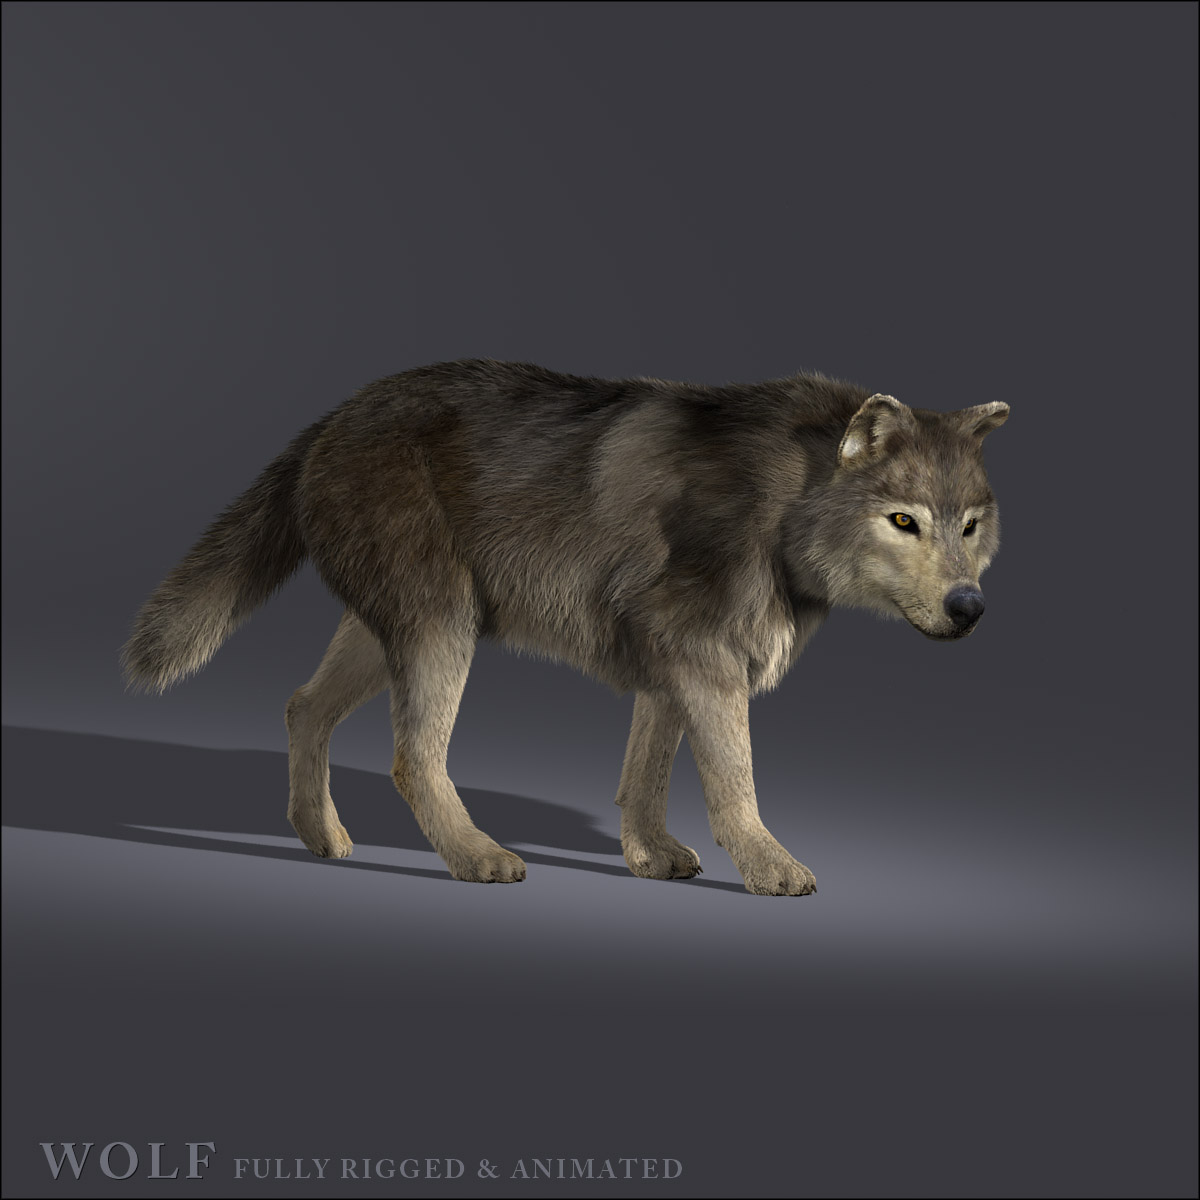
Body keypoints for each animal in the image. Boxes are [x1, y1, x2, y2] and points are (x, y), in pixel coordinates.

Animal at [123, 359, 1009, 895]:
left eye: (968, 527)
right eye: (903, 521)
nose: (969, 609)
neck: (787, 501)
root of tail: (332, 416)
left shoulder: (669, 666)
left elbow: (644, 776)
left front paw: (650, 857)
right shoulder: (705, 661)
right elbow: (736, 784)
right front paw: (770, 867)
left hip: (394, 633)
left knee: (303, 706)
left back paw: (323, 838)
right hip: (441, 631)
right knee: (413, 758)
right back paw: (477, 858)